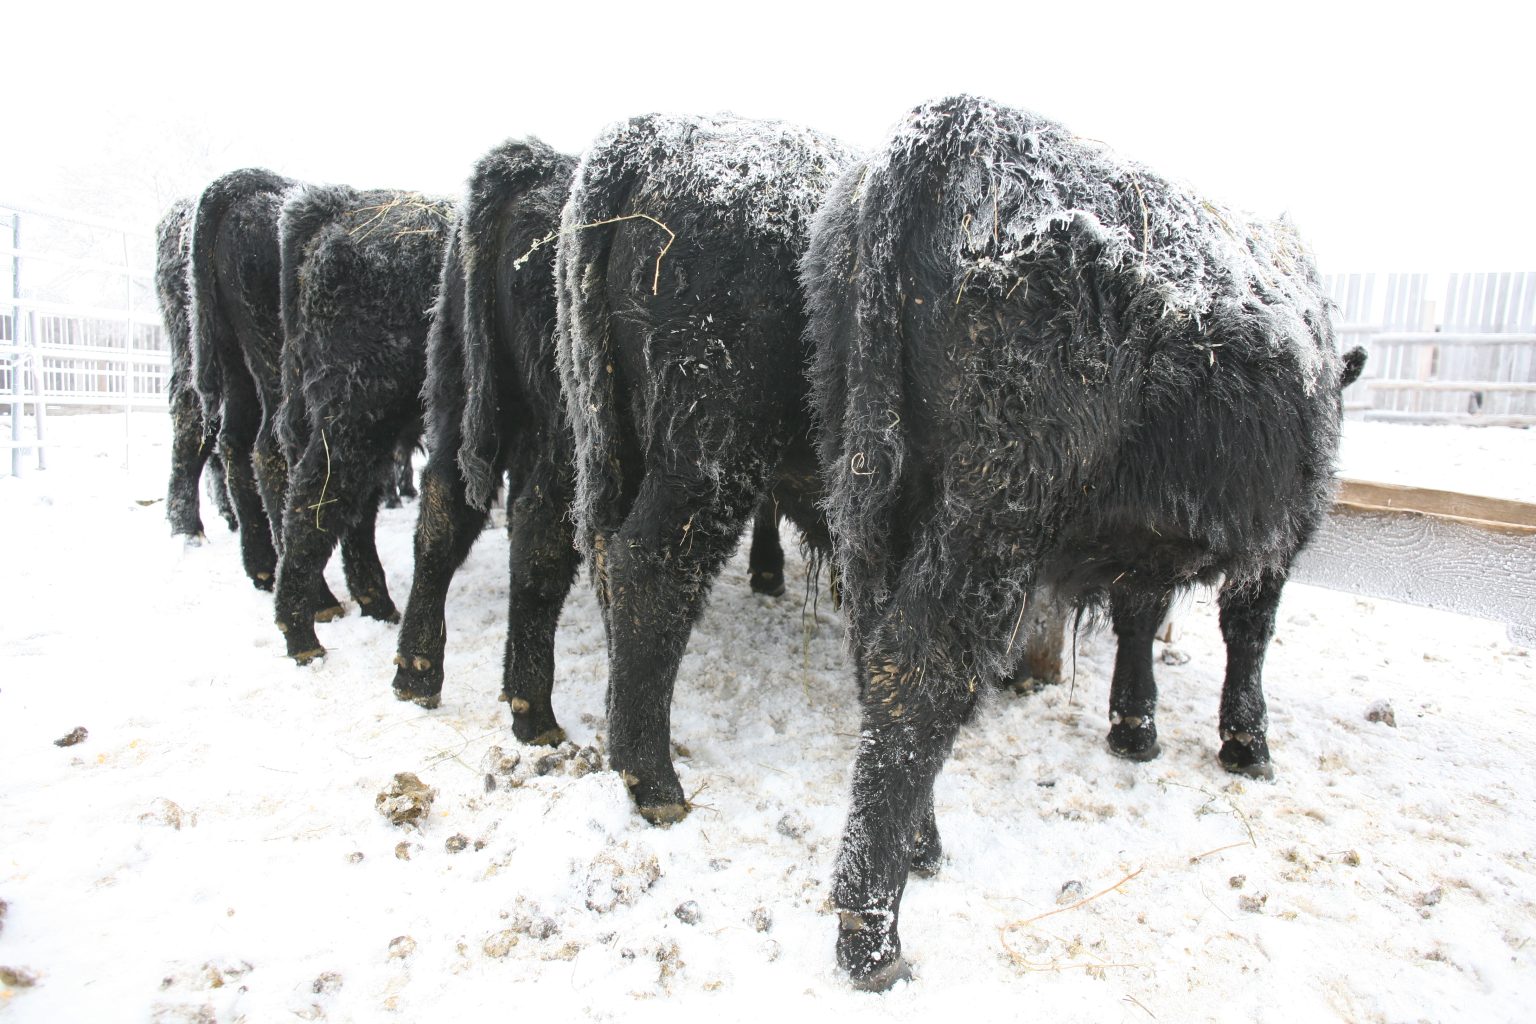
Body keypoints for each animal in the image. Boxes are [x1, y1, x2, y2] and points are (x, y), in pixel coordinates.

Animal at [271, 184, 453, 663]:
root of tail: (341, 205)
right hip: (357, 413)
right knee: (316, 498)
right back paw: (302, 635)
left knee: (352, 505)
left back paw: (374, 603)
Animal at [556, 113, 856, 823]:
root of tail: (651, 138)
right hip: (708, 460)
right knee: (649, 568)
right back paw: (656, 785)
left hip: (613, 446)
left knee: (606, 559)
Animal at [802, 95, 1364, 989]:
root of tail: (942, 129)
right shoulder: (1278, 539)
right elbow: (1248, 634)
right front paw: (1246, 743)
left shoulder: (1150, 542)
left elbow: (1139, 619)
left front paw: (1134, 728)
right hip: (991, 507)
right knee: (920, 673)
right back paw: (872, 937)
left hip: (869, 486)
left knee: (875, 658)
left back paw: (921, 847)